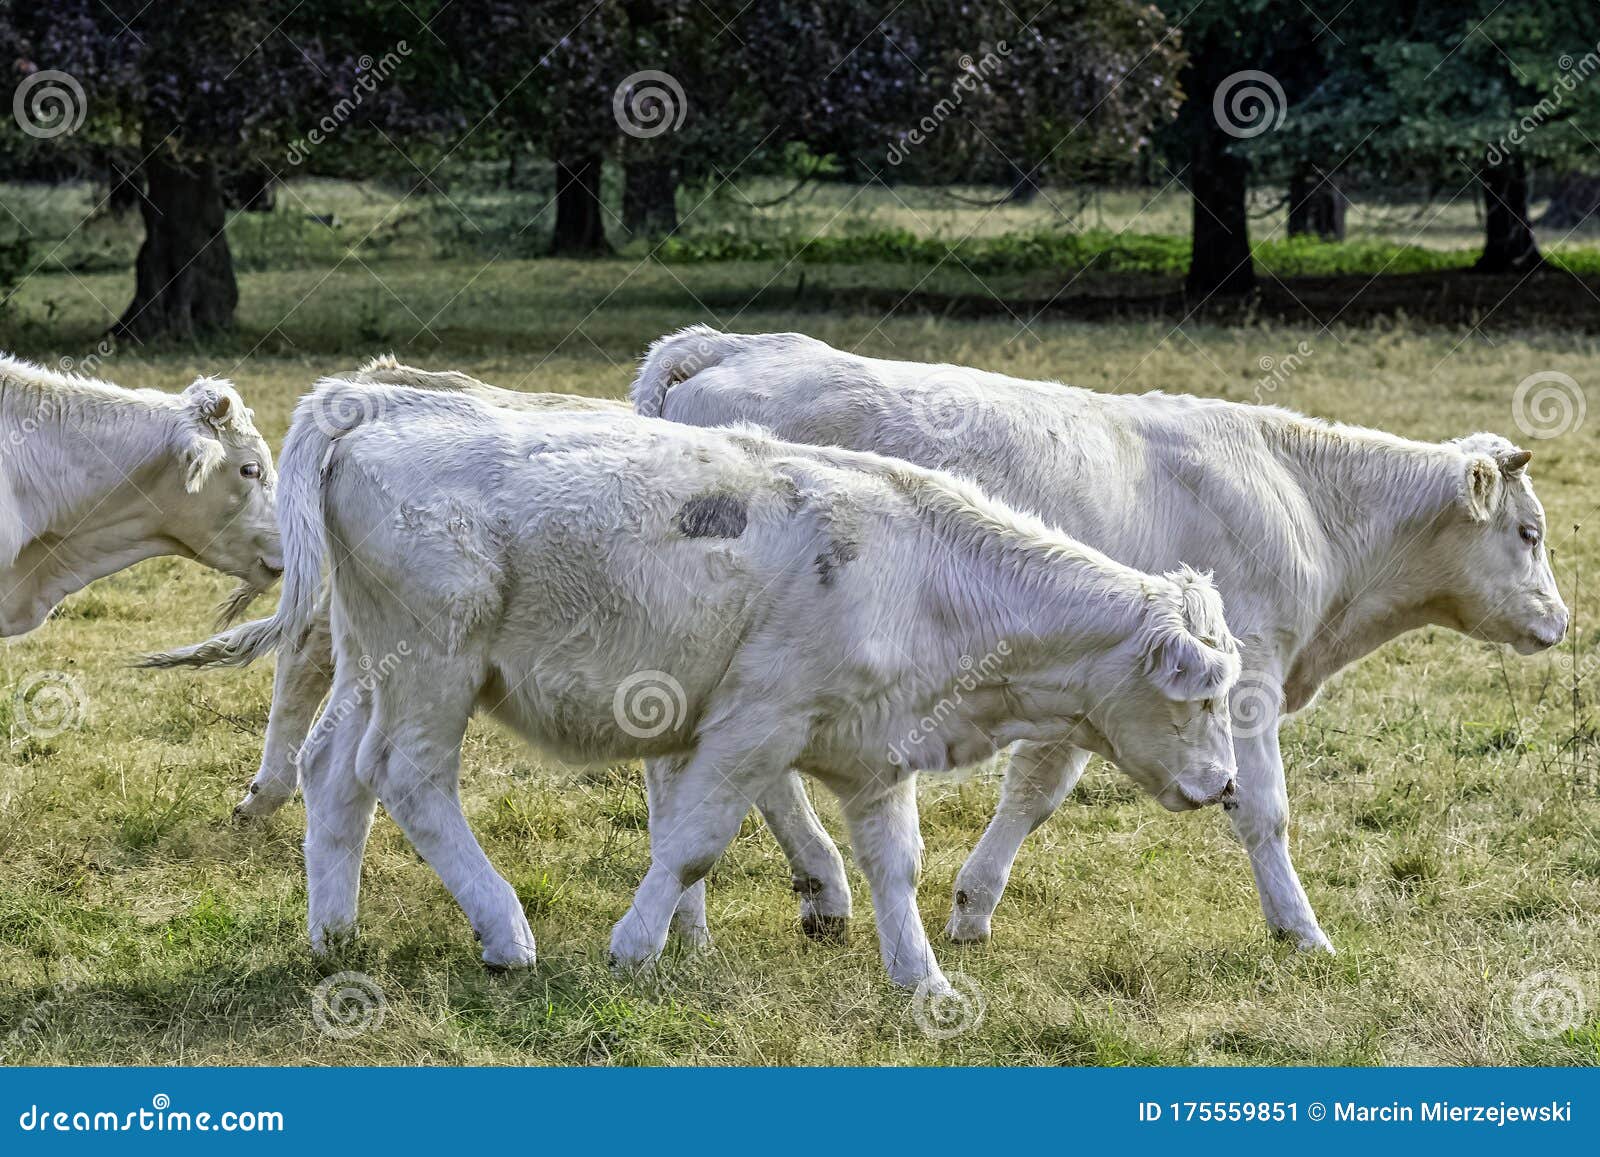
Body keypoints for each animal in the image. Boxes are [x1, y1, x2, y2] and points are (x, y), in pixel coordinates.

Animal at [151, 375, 1242, 990]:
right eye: (1199, 693)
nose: (1226, 784)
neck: (921, 571)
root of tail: (375, 402)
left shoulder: (876, 756)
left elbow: (895, 867)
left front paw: (922, 979)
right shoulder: (753, 729)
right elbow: (690, 846)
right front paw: (635, 947)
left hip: (373, 658)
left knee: (334, 770)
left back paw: (334, 934)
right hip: (436, 664)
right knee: (411, 779)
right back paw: (505, 932)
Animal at [631, 325, 1569, 954]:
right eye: (1529, 533)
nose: (1561, 622)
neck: (1301, 499)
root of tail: (723, 345)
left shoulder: (1098, 681)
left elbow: (1036, 792)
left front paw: (973, 906)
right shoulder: (1245, 683)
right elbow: (1263, 810)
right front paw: (1301, 931)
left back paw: (794, 895)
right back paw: (778, 896)